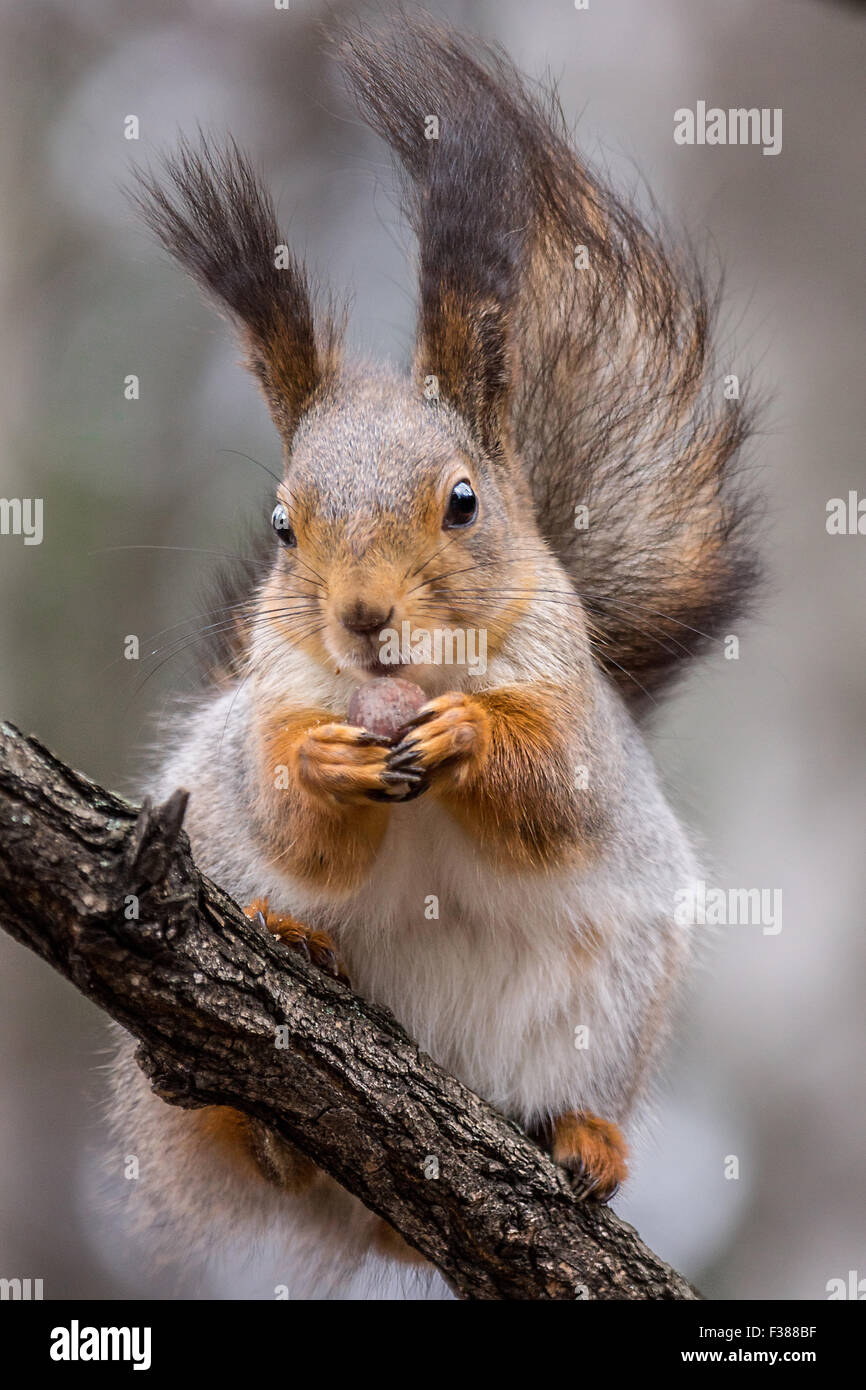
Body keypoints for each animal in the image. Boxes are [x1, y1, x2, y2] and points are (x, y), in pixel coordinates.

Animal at [108, 17, 758, 1289]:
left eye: (462, 501)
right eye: (283, 524)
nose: (364, 617)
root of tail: (373, 1215)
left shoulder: (573, 703)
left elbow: (558, 791)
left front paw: (470, 738)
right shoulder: (265, 700)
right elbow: (285, 817)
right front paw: (324, 767)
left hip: (613, 1005)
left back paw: (586, 1139)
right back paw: (280, 1034)